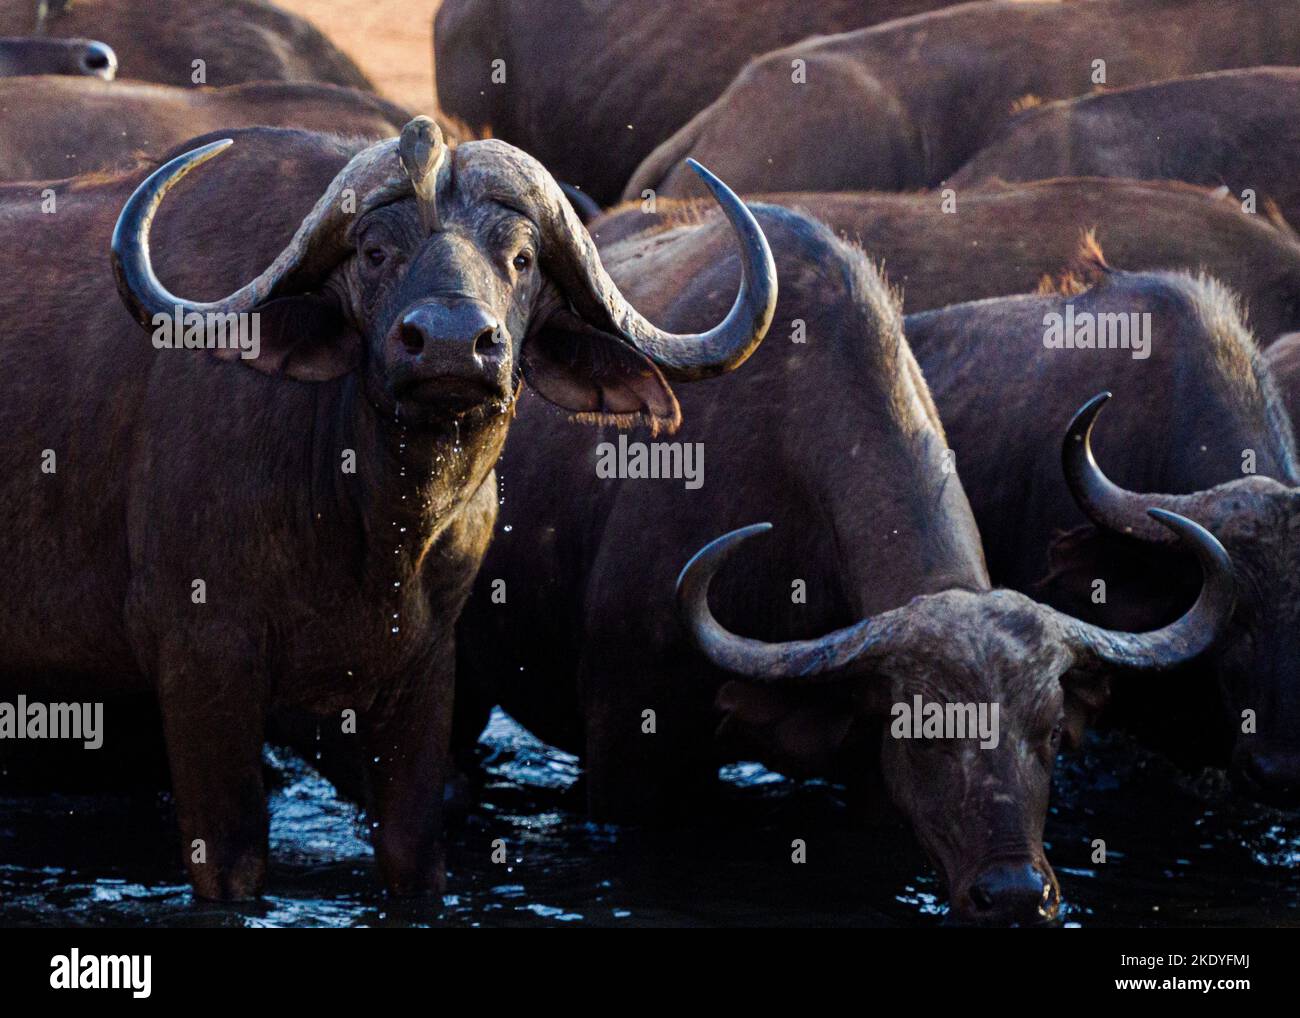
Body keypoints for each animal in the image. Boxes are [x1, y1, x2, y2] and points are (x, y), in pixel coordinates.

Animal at [0, 118, 775, 900]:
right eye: (375, 253)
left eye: (521, 258)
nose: (452, 342)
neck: (373, 528)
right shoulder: (200, 661)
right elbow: (233, 861)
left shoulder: (424, 668)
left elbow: (414, 849)